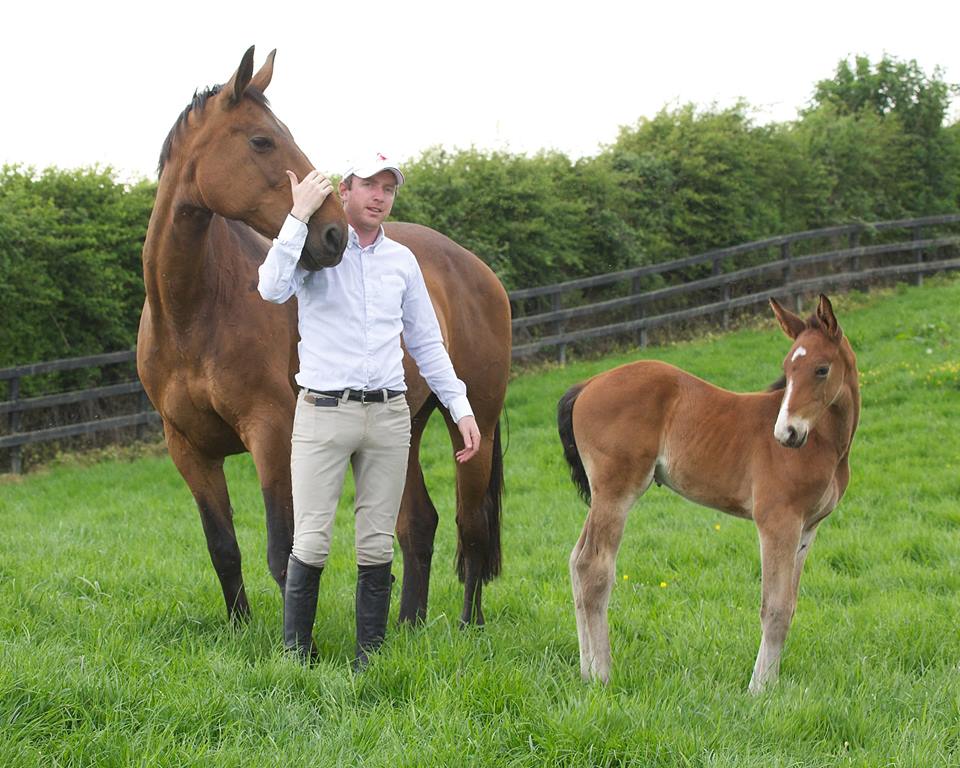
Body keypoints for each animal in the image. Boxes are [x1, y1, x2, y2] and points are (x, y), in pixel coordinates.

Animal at [137, 46, 510, 629]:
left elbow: (283, 551)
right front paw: (242, 632)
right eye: (262, 140)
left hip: (475, 426)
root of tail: (477, 269)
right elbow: (223, 548)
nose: (334, 233)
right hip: (405, 427)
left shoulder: (272, 436)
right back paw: (408, 625)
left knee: (470, 528)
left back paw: (468, 627)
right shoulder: (189, 451)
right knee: (417, 524)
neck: (192, 314)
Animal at [557, 295, 859, 692]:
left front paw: (772, 684)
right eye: (788, 368)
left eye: (822, 369)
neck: (826, 442)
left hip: (600, 497)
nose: (786, 433)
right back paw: (602, 675)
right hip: (615, 493)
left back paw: (585, 671)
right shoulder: (777, 521)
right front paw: (759, 689)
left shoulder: (808, 528)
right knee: (594, 568)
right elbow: (774, 608)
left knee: (576, 562)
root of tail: (588, 384)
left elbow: (790, 606)